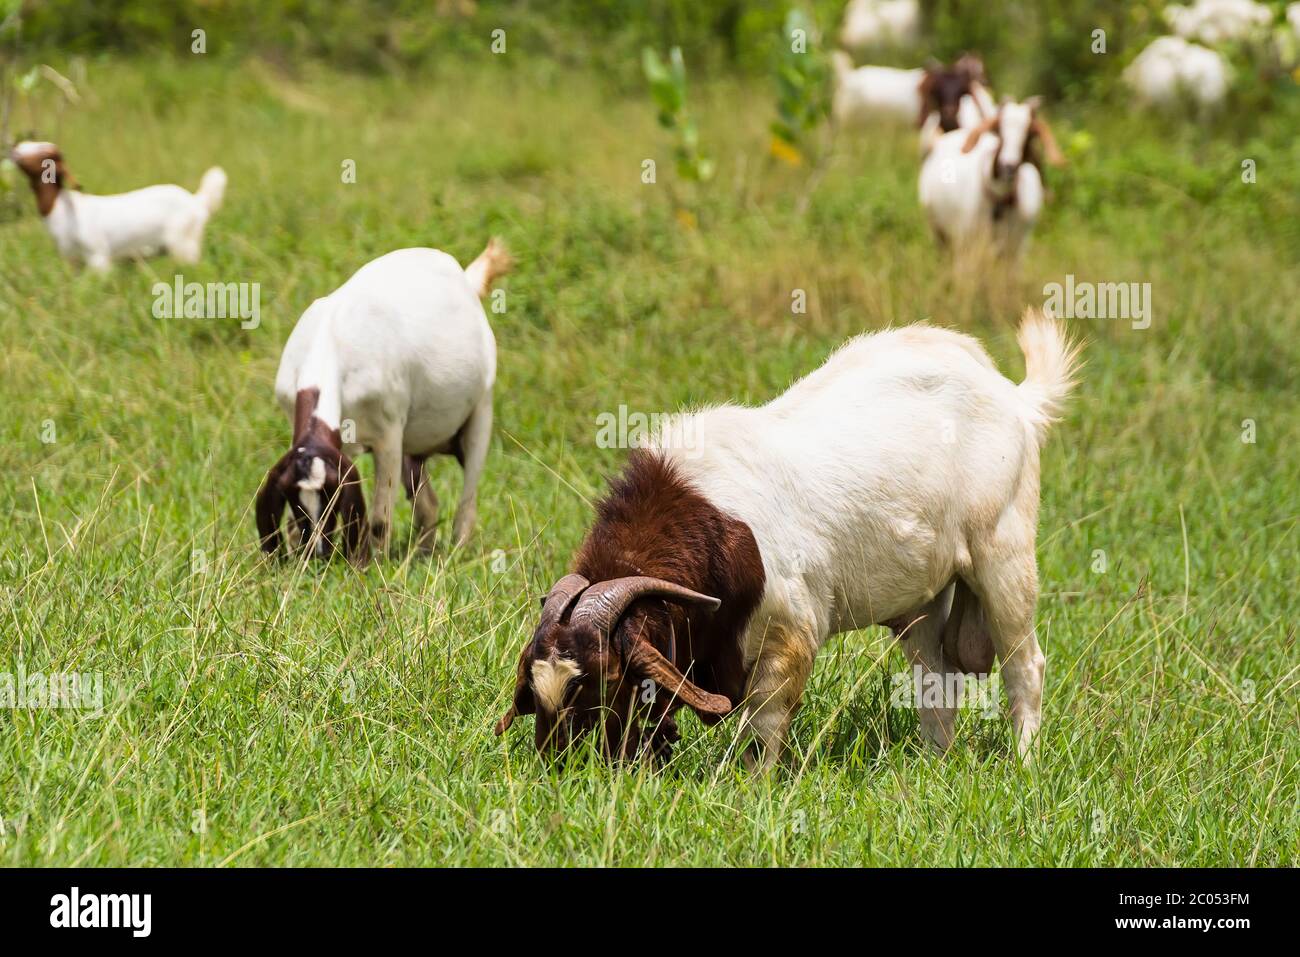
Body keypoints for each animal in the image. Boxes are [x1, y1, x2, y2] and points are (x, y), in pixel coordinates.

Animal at [9, 141, 226, 273]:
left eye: (45, 152)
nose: (15, 148)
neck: (63, 209)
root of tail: (197, 201)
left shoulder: (98, 256)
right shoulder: (72, 260)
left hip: (184, 244)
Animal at [256, 240, 510, 563]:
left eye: (333, 496)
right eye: (292, 498)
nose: (318, 553)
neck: (331, 341)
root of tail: (465, 279)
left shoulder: (388, 437)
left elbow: (379, 520)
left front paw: (375, 564)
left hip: (480, 411)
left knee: (467, 505)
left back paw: (456, 553)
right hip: (412, 447)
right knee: (428, 505)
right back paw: (423, 553)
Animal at [496, 311, 1081, 769]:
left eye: (603, 682)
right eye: (536, 691)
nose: (564, 772)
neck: (705, 524)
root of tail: (1016, 399)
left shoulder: (791, 631)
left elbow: (764, 726)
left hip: (1004, 555)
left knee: (1024, 666)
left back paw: (1024, 765)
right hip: (924, 600)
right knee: (936, 683)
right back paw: (935, 767)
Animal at [918, 98, 1065, 258]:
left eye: (1029, 135)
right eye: (999, 131)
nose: (1008, 166)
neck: (998, 199)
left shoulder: (1016, 249)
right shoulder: (965, 241)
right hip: (938, 228)